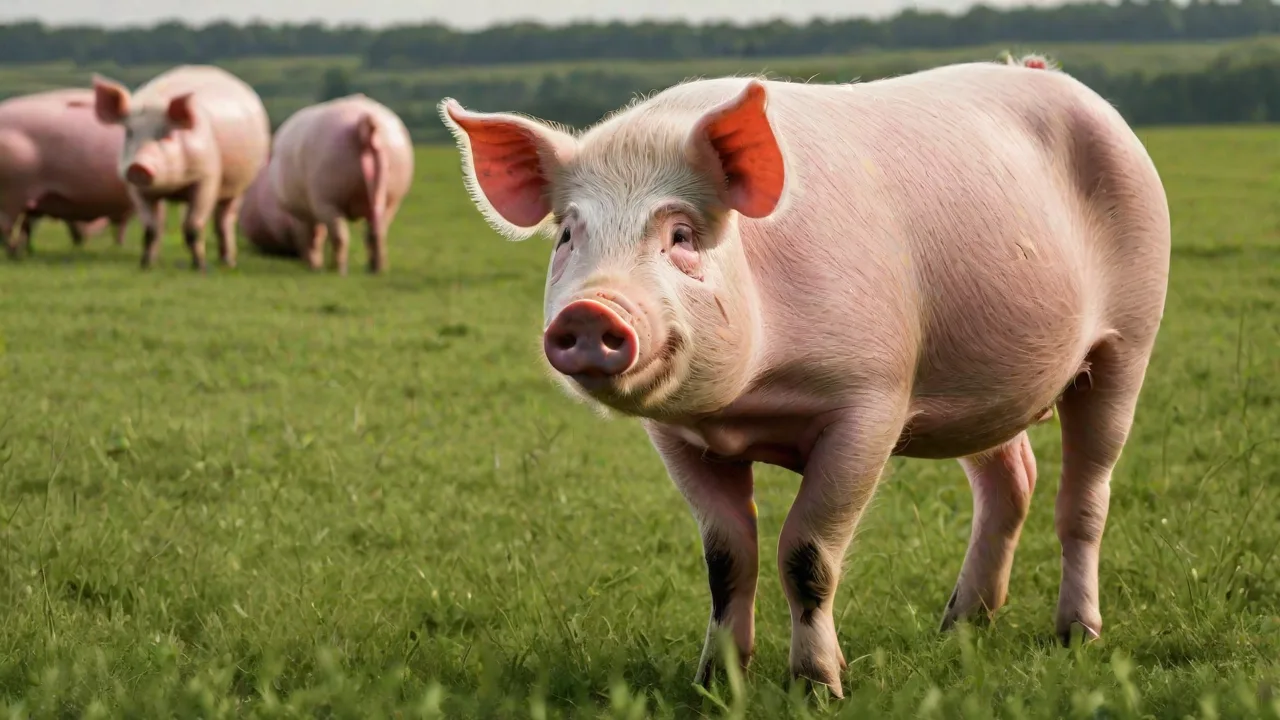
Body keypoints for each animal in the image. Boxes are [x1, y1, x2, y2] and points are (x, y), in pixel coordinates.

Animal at [91, 65, 272, 271]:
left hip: (242, 183)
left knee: (224, 220)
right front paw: (146, 265)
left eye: (166, 133)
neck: (173, 187)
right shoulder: (138, 190)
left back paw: (227, 262)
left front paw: (200, 268)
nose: (138, 167)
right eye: (129, 132)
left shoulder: (207, 177)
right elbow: (150, 229)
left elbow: (193, 227)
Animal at [240, 94, 414, 274]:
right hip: (392, 194)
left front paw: (312, 265)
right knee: (377, 231)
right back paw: (377, 270)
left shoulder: (300, 211)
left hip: (327, 194)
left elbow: (310, 236)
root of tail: (363, 123)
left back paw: (336, 270)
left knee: (340, 235)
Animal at [439, 55, 1171, 697]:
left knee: (1085, 494)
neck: (747, 402)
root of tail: (1048, 74)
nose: (590, 310)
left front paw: (819, 689)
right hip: (988, 386)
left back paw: (1077, 635)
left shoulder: (871, 401)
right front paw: (713, 685)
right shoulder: (678, 436)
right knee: (1011, 480)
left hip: (1129, 339)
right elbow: (727, 558)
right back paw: (958, 628)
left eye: (681, 234)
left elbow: (807, 553)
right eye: (568, 234)